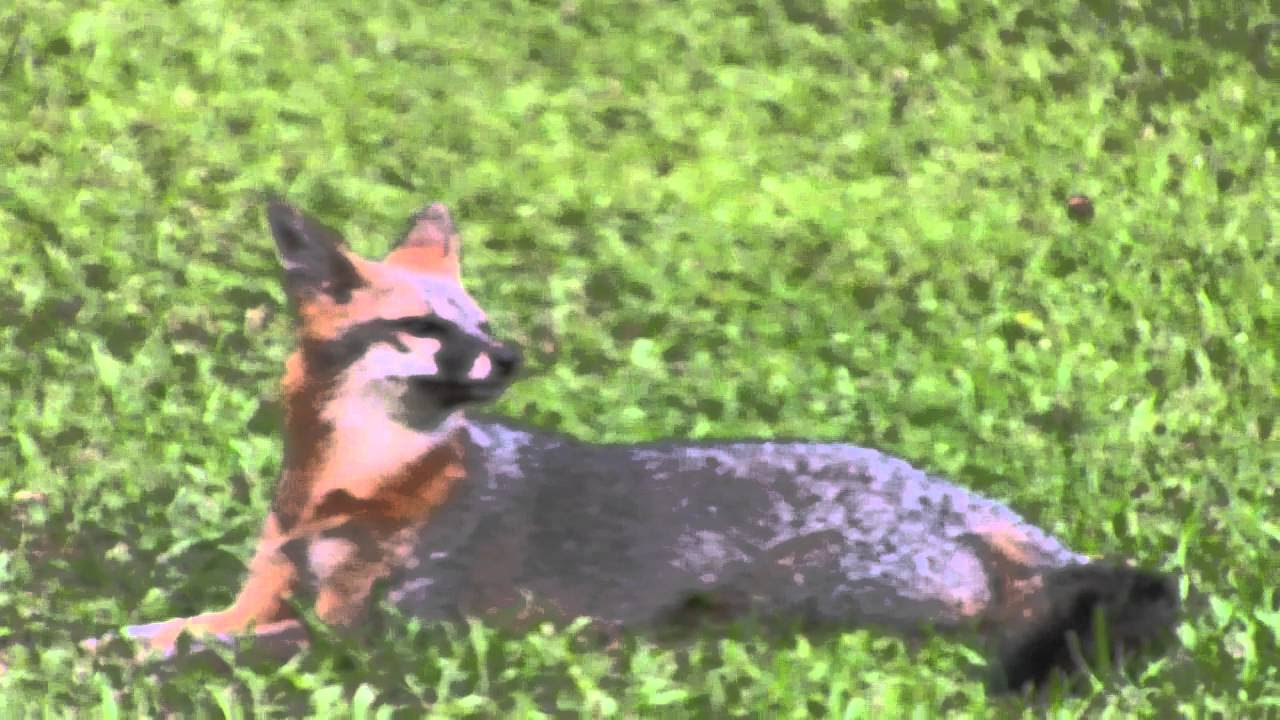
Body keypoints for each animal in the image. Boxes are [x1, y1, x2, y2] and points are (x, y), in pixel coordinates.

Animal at [99, 201, 1179, 690]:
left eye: (480, 322)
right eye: (427, 328)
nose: (513, 354)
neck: (341, 490)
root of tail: (959, 500)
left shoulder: (363, 634)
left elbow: (216, 648)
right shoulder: (264, 593)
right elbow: (183, 627)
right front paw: (114, 641)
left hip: (753, 601)